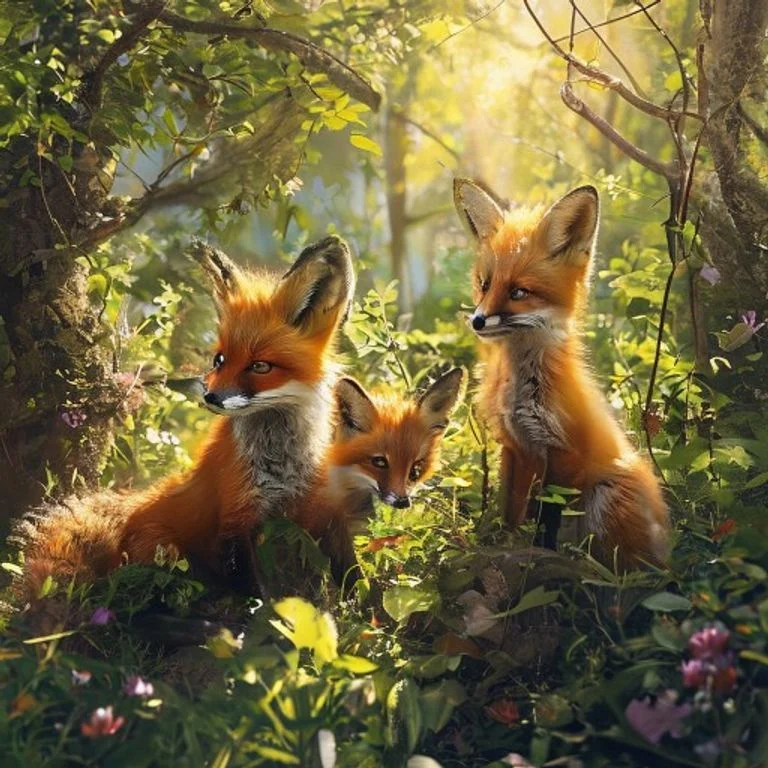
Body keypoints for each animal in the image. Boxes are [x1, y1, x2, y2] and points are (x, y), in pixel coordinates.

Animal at [15, 235, 355, 601]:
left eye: (260, 366)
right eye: (219, 359)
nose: (210, 397)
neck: (281, 462)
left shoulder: (313, 509)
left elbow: (340, 572)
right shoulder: (236, 514)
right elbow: (249, 586)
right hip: (163, 551)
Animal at [452, 178, 669, 568]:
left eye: (519, 292)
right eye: (484, 284)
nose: (477, 321)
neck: (522, 392)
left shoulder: (564, 452)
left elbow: (546, 516)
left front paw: (539, 553)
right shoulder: (515, 447)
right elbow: (510, 510)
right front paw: (501, 543)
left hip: (606, 496)